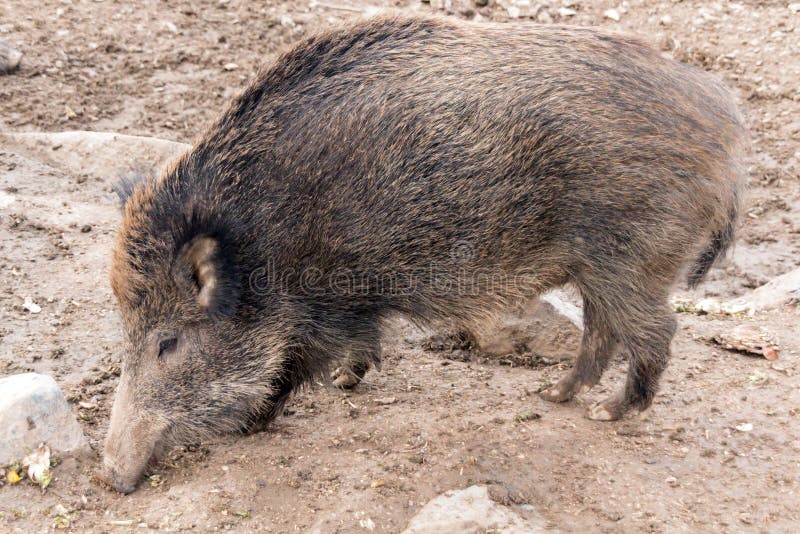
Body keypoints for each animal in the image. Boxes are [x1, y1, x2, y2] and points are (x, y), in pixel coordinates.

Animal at [99, 15, 747, 493]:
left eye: (168, 343)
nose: (110, 477)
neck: (259, 241)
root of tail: (728, 125)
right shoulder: (352, 301)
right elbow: (359, 346)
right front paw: (347, 384)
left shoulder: (323, 301)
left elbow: (294, 365)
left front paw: (260, 421)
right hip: (601, 266)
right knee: (603, 330)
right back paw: (554, 396)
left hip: (634, 256)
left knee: (656, 330)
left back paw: (608, 413)